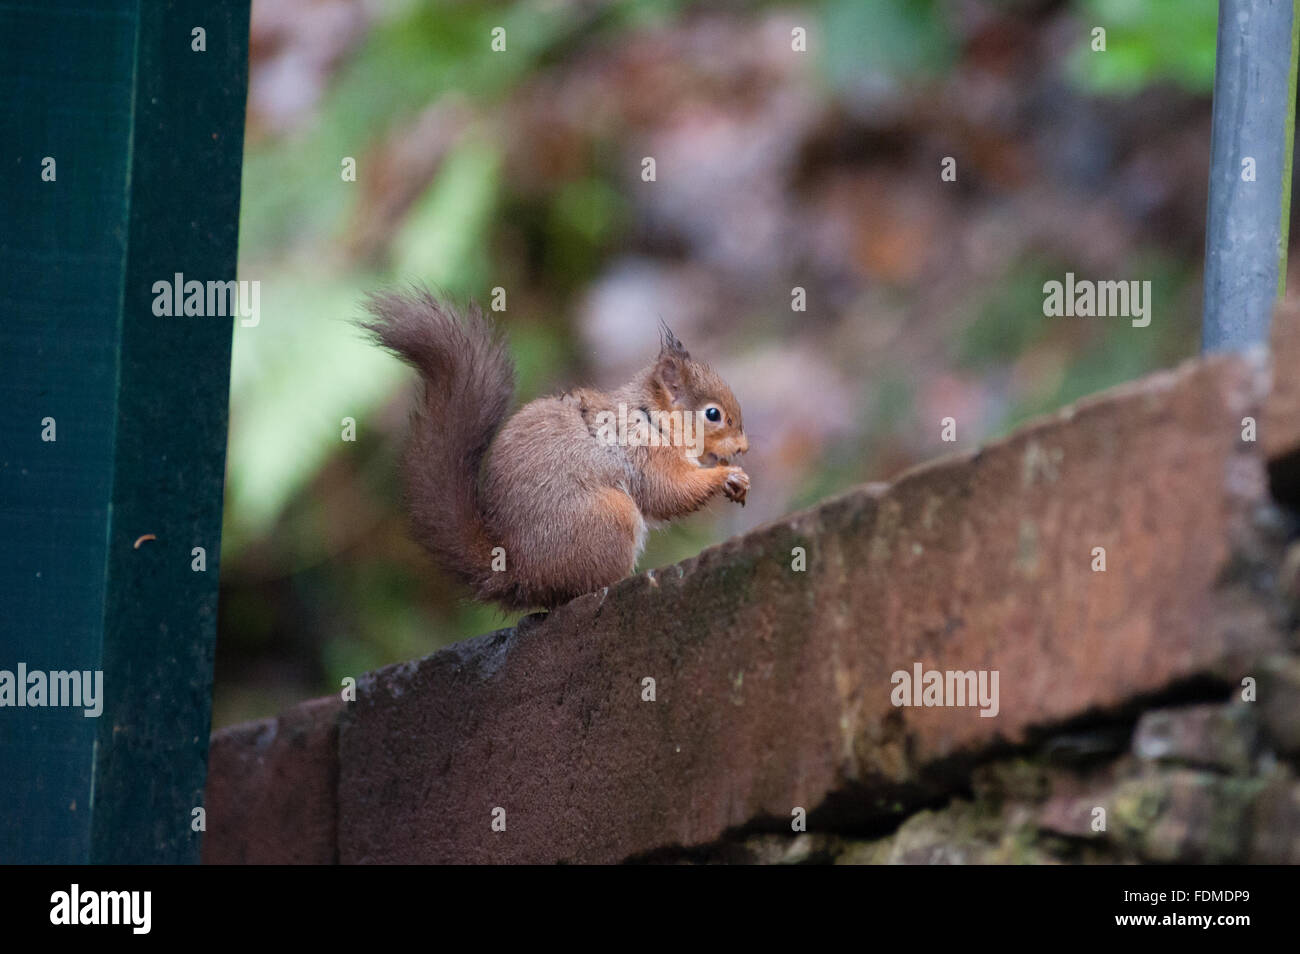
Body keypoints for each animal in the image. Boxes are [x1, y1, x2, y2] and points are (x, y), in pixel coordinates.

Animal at [360, 288, 750, 611]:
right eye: (713, 414)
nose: (744, 447)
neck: (651, 416)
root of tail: (523, 575)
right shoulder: (643, 453)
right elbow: (669, 492)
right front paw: (726, 475)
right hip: (611, 516)